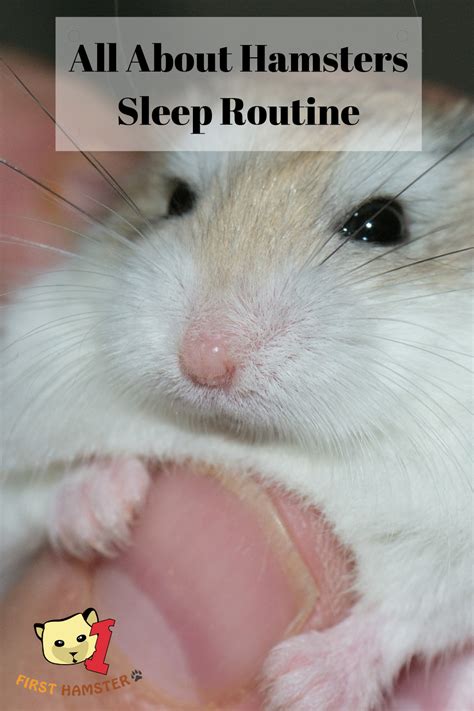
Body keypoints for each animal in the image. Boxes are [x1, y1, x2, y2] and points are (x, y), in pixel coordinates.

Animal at [1, 76, 473, 711]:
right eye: (176, 199)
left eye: (382, 223)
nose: (205, 361)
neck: (254, 442)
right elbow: (38, 491)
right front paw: (103, 512)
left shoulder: (452, 539)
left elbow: (411, 611)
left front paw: (297, 685)